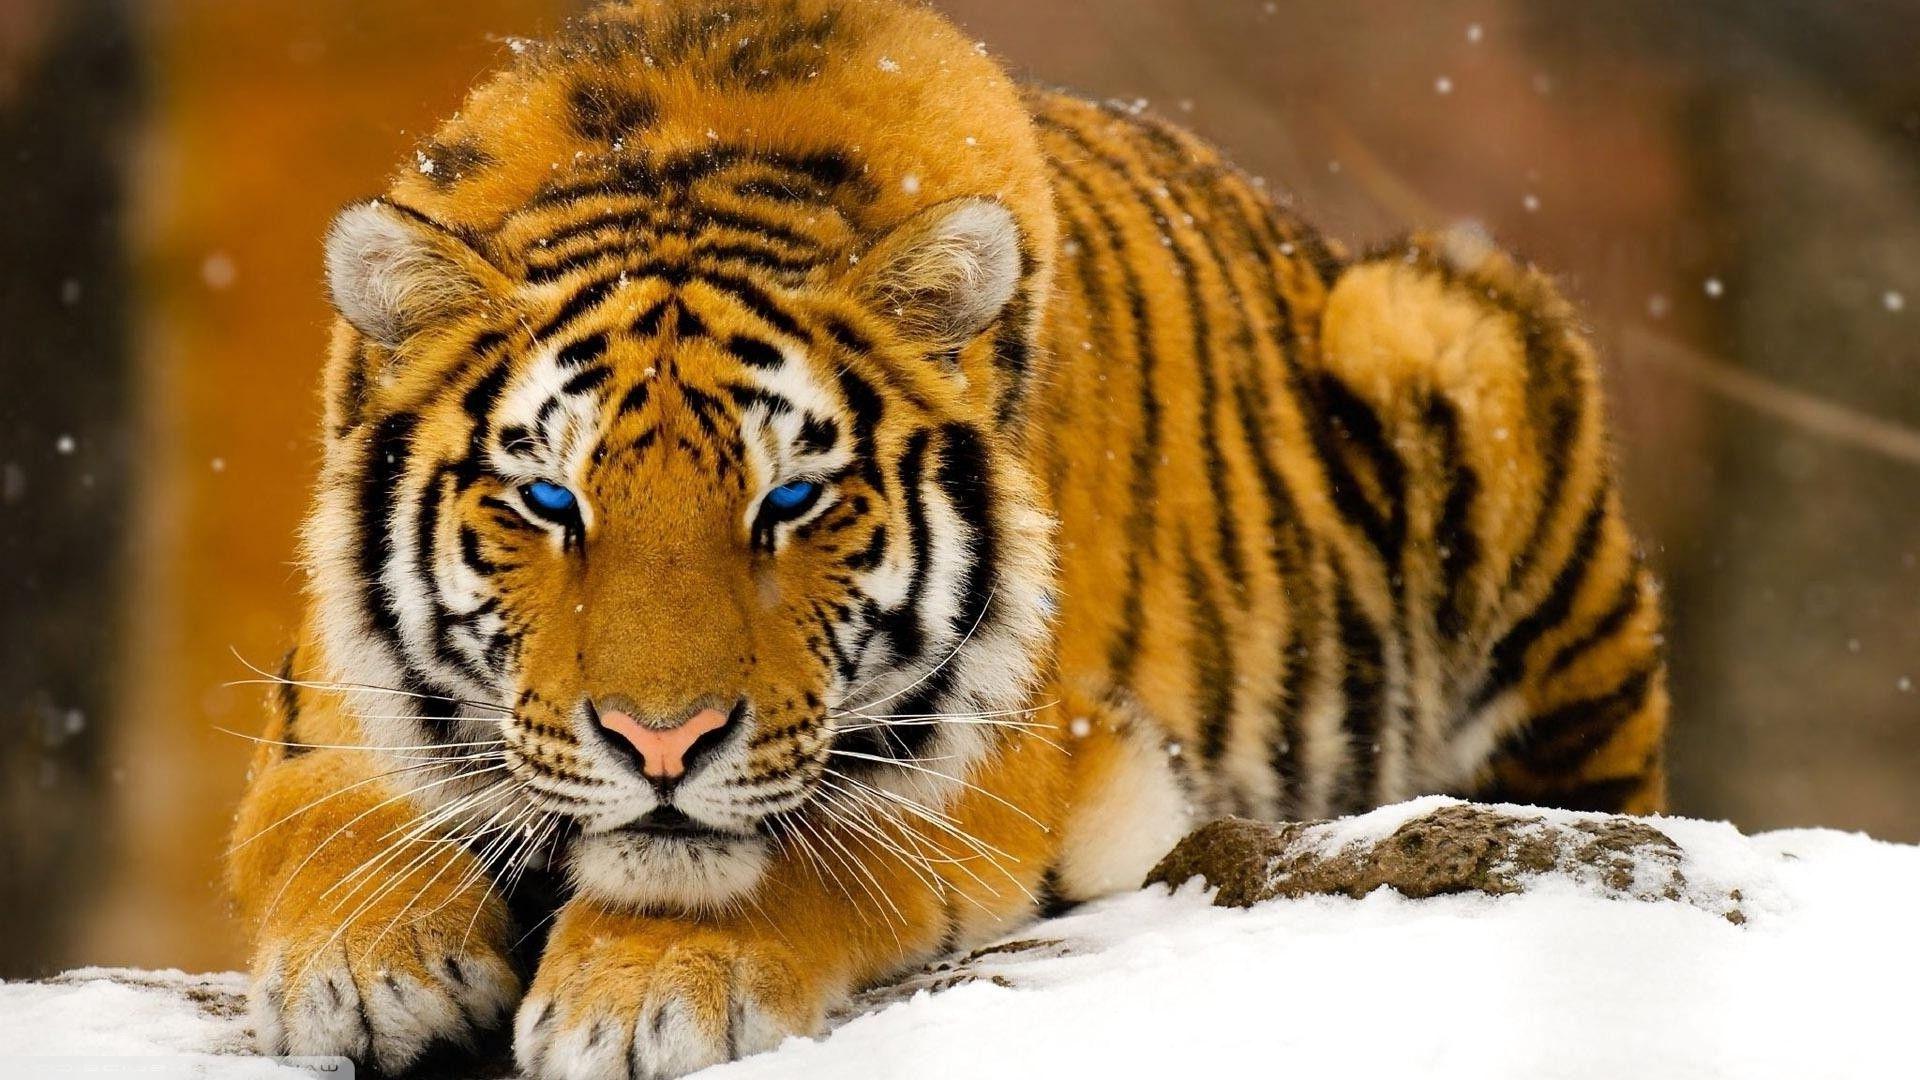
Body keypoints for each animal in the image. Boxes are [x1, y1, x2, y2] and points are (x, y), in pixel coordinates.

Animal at [226, 0, 1669, 1075]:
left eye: (792, 502)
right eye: (550, 502)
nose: (661, 744)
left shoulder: (998, 758)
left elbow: (800, 850)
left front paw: (638, 996)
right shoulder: (325, 714)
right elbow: (329, 828)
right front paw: (364, 971)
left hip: (1443, 332)